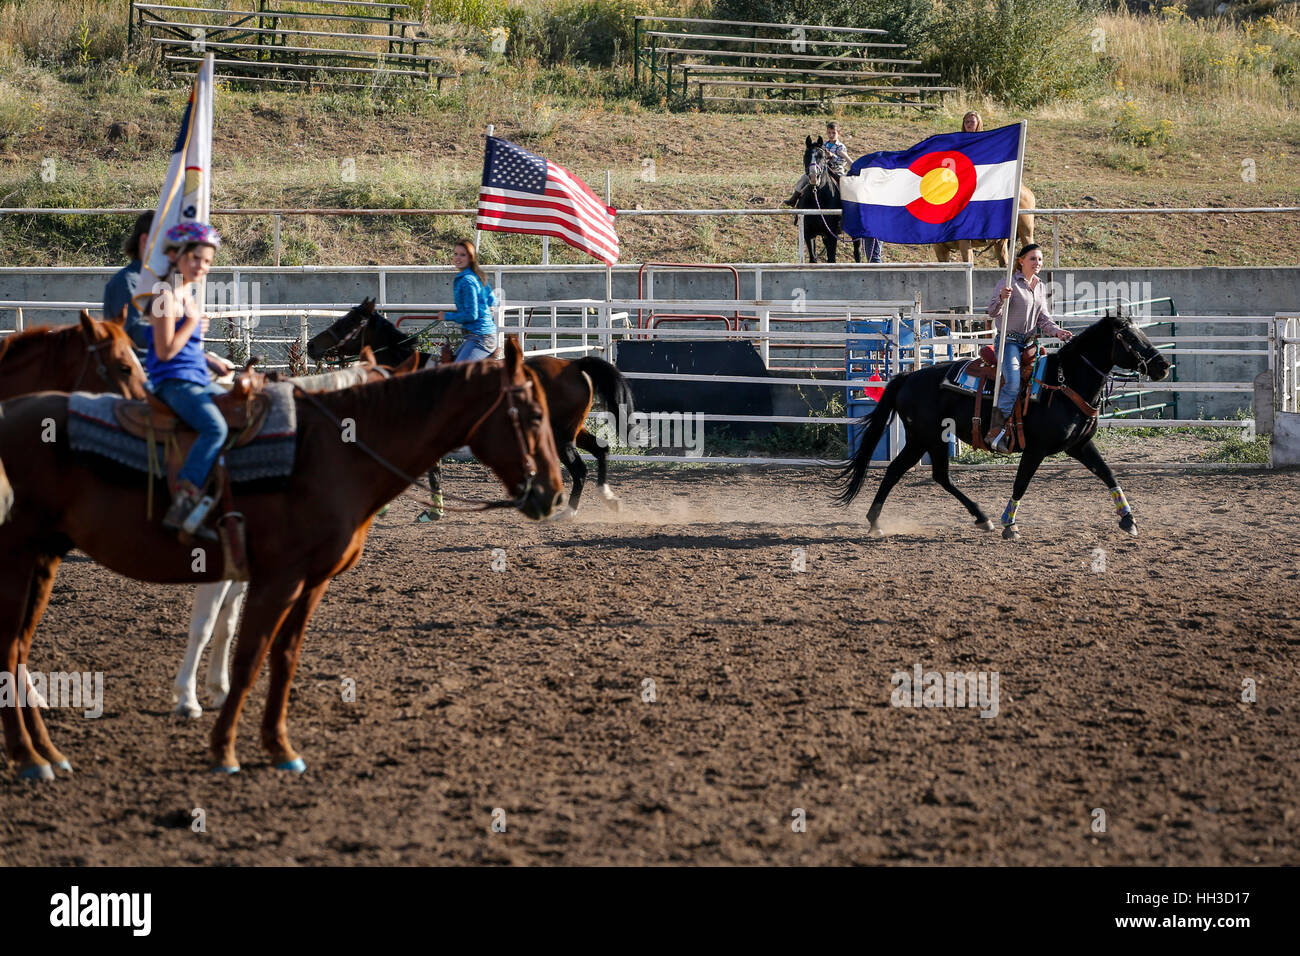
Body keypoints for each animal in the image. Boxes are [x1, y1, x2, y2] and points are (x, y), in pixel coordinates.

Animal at [306, 298, 634, 516]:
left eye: (346, 323)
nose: (311, 346)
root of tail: (574, 365)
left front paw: (431, 510)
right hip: (573, 429)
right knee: (601, 450)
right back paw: (609, 498)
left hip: (559, 434)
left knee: (580, 469)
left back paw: (568, 512)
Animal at [797, 136, 868, 264]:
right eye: (806, 155)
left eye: (822, 156)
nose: (813, 176)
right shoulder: (809, 234)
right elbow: (813, 259)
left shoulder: (832, 235)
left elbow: (832, 259)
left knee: (857, 252)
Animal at [832, 310, 1171, 540]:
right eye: (1130, 337)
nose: (1163, 365)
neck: (1063, 383)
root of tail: (907, 377)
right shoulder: (1035, 449)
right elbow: (1021, 483)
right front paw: (1010, 524)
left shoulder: (1079, 445)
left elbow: (1108, 473)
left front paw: (1128, 520)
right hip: (930, 438)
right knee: (921, 473)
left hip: (922, 439)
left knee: (910, 472)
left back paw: (882, 521)